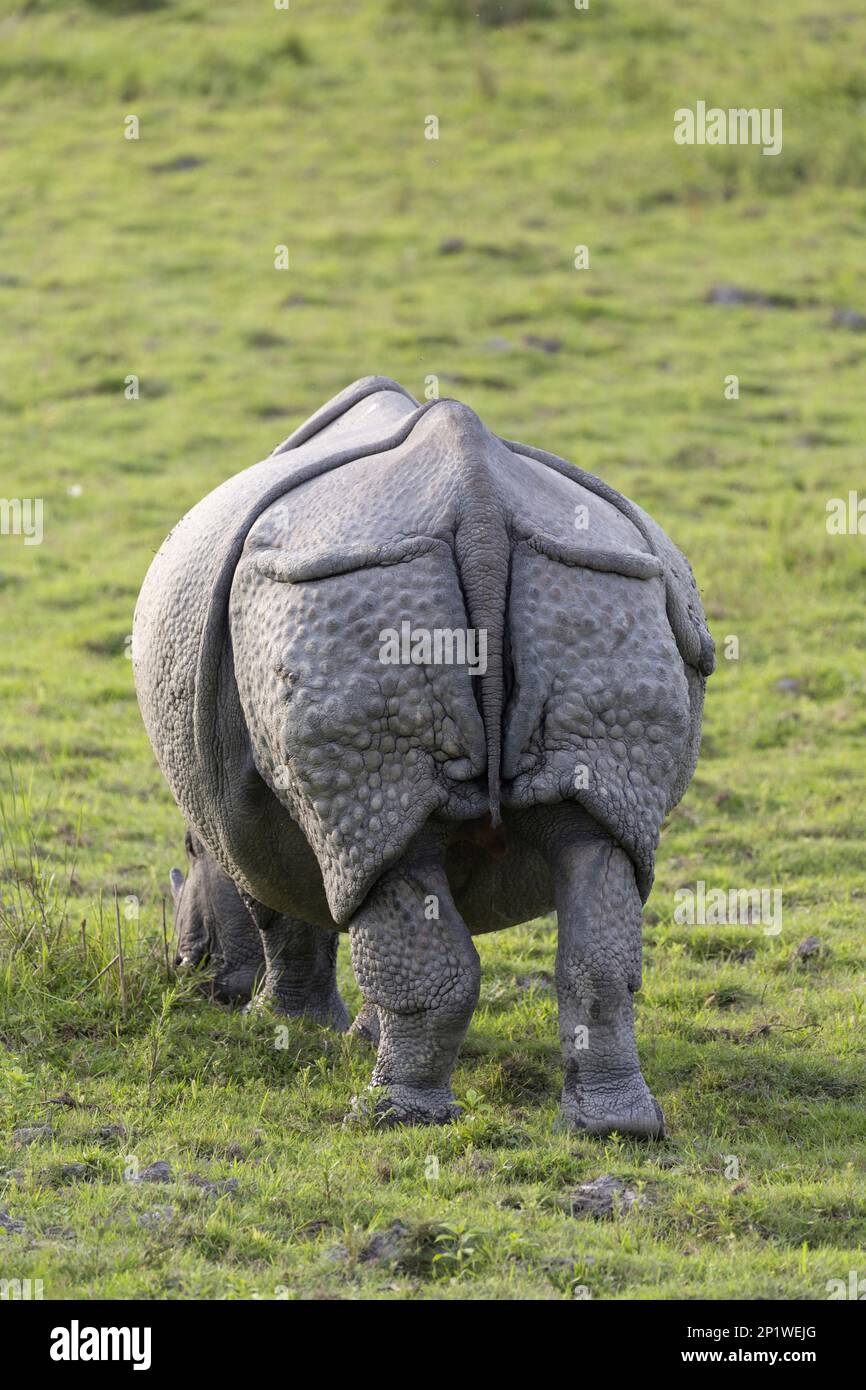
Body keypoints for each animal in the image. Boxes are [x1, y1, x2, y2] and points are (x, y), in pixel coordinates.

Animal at [134, 376, 714, 1136]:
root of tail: (479, 503)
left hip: (343, 585)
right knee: (596, 845)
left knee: (387, 859)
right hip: (596, 584)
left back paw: (384, 1117)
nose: (187, 968)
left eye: (187, 861)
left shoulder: (244, 820)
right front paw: (354, 1035)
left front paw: (288, 1025)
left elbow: (286, 911)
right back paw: (614, 1129)